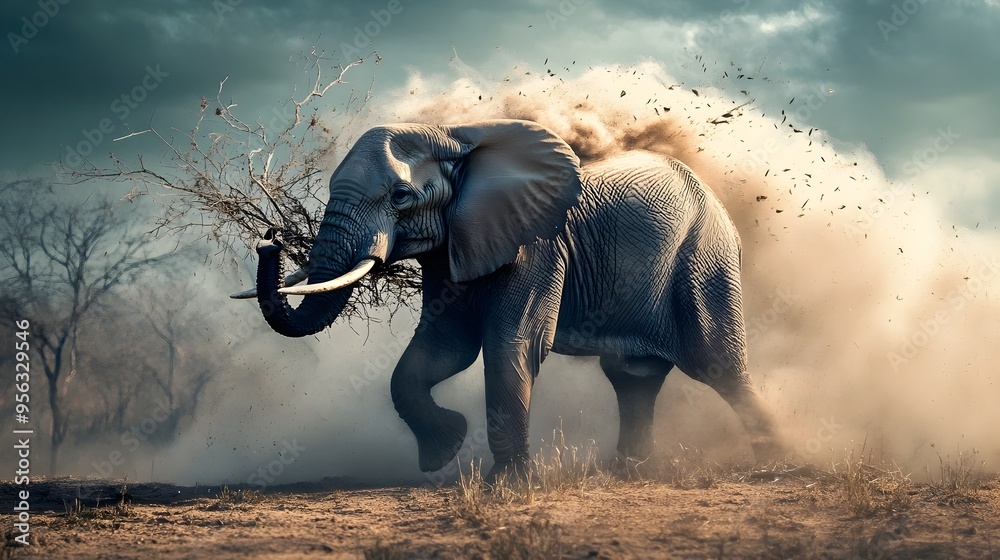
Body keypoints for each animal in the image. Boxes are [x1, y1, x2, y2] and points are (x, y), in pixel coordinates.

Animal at [236, 119, 786, 478]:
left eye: (400, 197)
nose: (269, 240)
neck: (457, 139)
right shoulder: (453, 252)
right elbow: (440, 350)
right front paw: (445, 449)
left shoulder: (536, 247)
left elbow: (510, 347)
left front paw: (509, 485)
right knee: (633, 374)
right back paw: (629, 472)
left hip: (704, 257)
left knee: (717, 362)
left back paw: (781, 461)